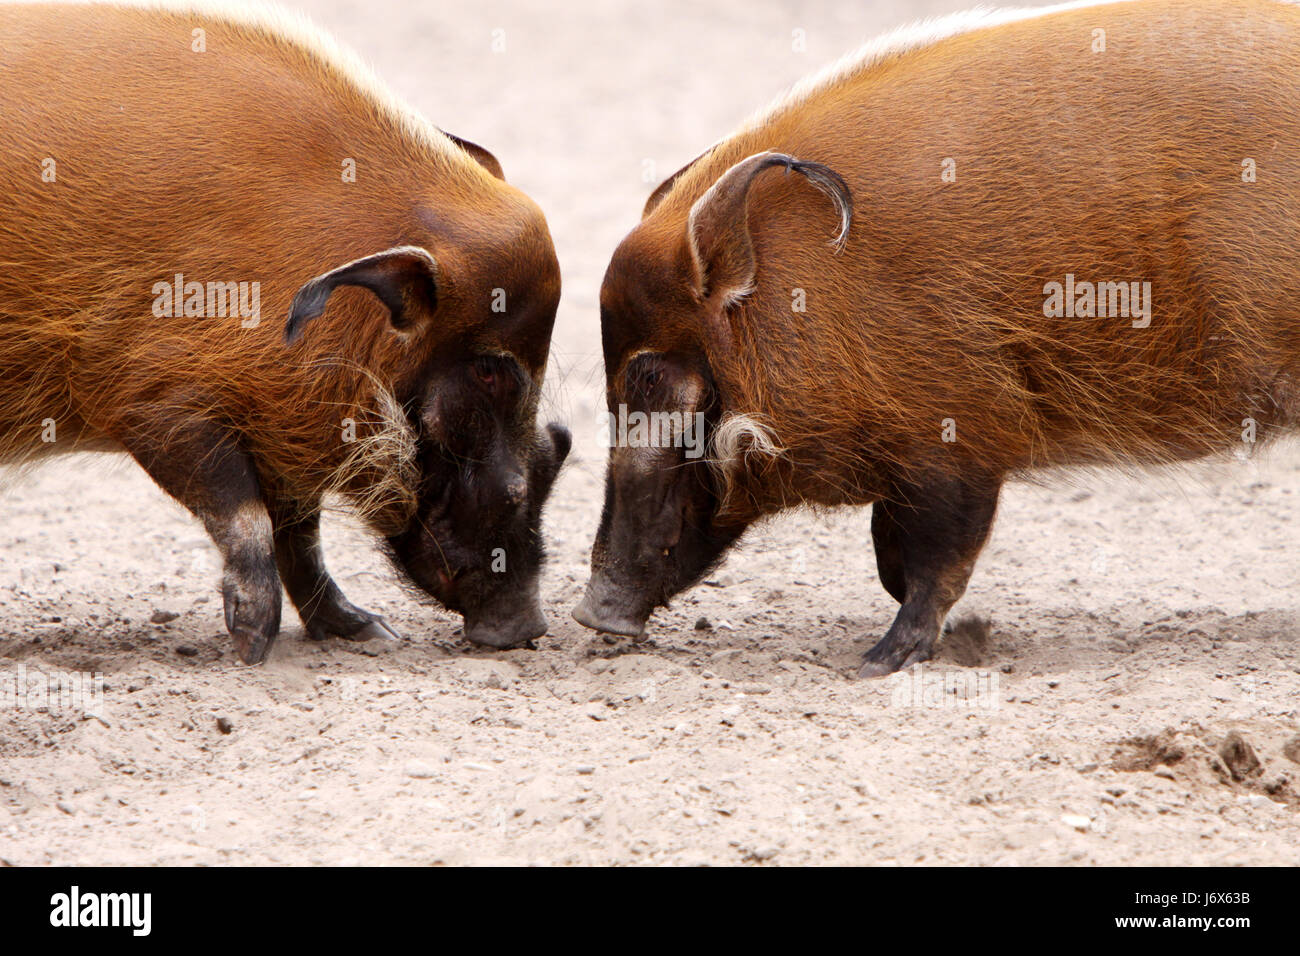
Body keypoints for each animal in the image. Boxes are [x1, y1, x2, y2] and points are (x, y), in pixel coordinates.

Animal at [0, 2, 570, 663]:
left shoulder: (284, 421)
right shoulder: (155, 402)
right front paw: (253, 646)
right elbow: (247, 516)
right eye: (487, 370)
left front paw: (369, 630)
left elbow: (300, 535)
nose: (525, 628)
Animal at [574, 0, 1300, 675]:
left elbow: (935, 561)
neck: (811, 286)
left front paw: (877, 662)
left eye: (648, 376)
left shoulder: (954, 439)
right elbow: (889, 552)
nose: (592, 615)